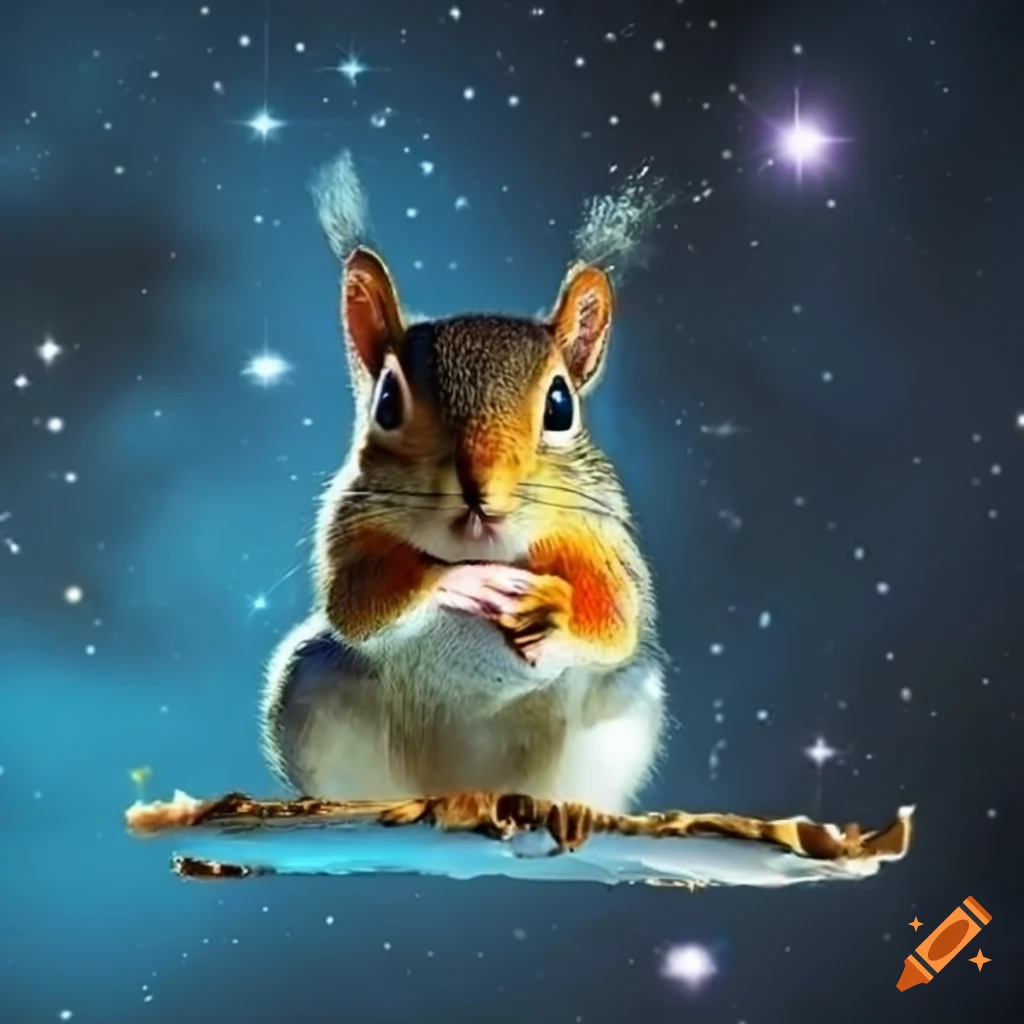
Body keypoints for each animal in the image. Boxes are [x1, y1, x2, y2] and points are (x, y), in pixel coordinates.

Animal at [260, 246, 667, 814]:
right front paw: (462, 580)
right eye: (387, 401)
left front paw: (554, 609)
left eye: (560, 405)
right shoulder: (347, 532)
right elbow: (356, 604)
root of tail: (463, 785)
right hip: (312, 691)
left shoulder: (601, 537)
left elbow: (615, 620)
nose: (483, 492)